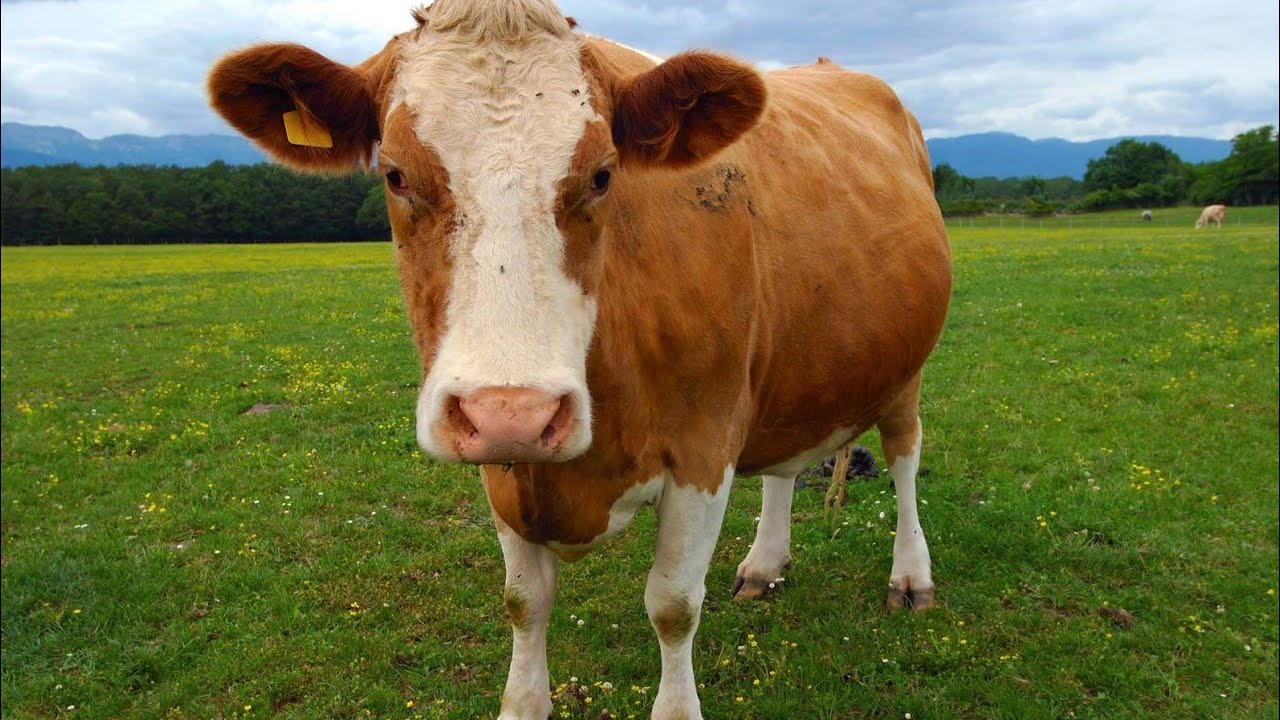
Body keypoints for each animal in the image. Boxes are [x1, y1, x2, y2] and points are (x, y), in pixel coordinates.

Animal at [207, 2, 951, 718]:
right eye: (394, 174)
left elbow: (673, 606)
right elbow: (524, 602)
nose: (513, 414)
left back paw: (911, 576)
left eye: (601, 175)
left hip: (906, 372)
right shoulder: (505, 473)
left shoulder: (705, 444)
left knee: (905, 457)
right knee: (784, 467)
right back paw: (764, 564)